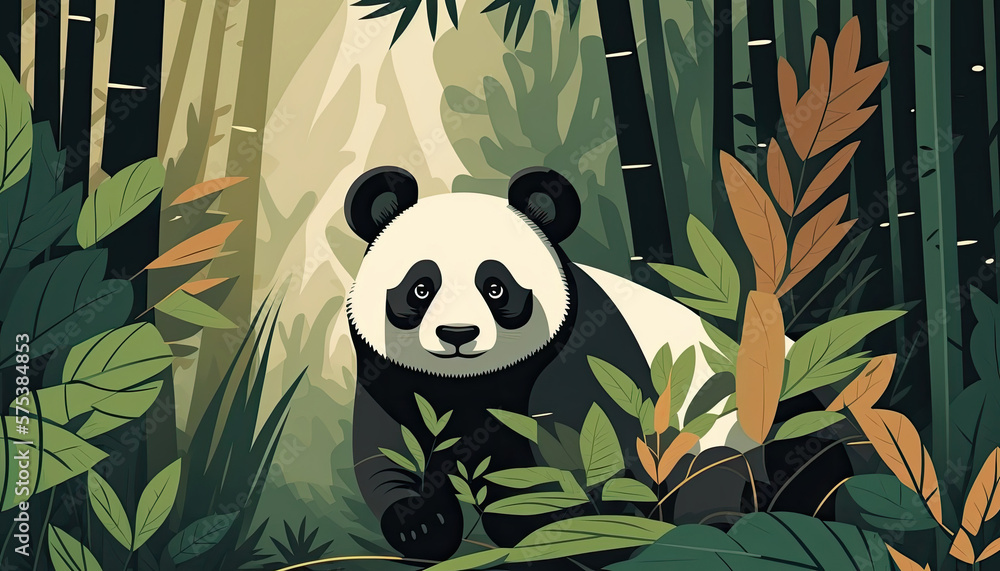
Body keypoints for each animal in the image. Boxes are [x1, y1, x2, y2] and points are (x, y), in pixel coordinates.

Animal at [345, 166, 850, 561]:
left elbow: (583, 449)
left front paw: (556, 530)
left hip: (763, 413)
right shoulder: (392, 378)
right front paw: (424, 528)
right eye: (420, 288)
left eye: (495, 287)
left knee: (761, 469)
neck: (469, 382)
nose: (457, 335)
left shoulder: (577, 357)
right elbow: (385, 451)